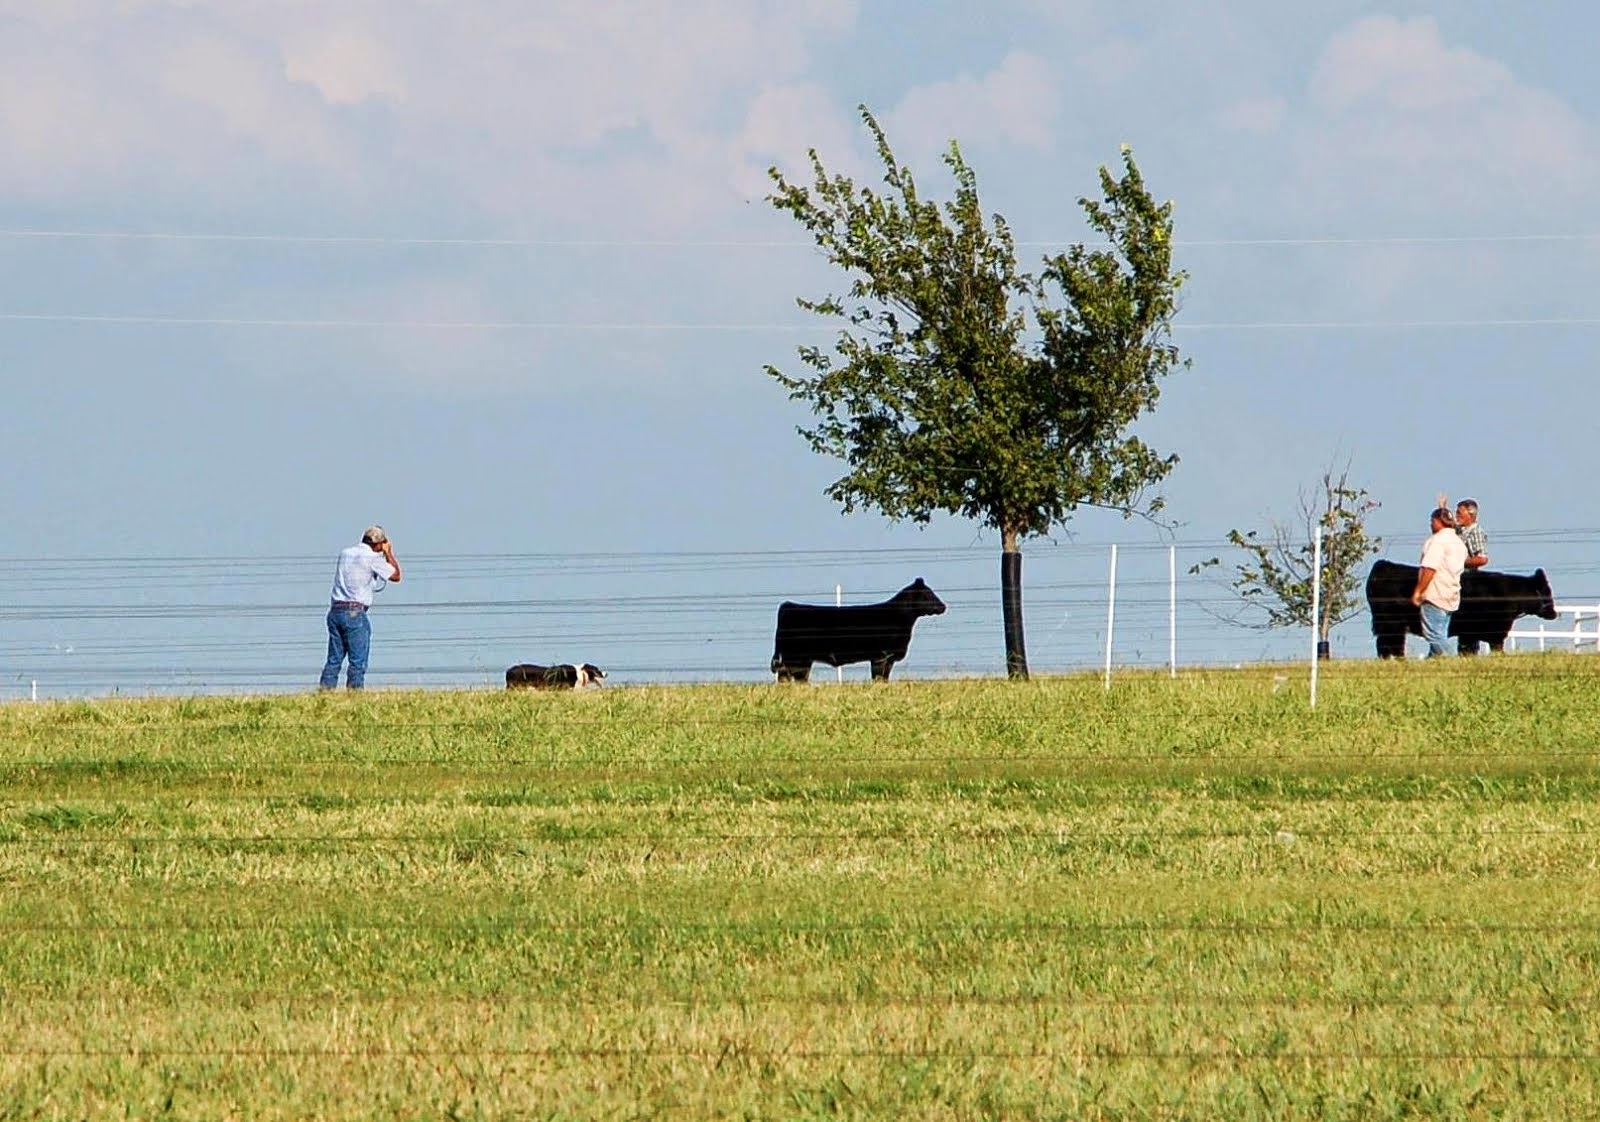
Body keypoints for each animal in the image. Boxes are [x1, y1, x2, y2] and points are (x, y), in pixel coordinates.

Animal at [771, 578, 947, 682]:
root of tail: (788, 605)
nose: (943, 606)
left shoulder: (889, 658)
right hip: (794, 658)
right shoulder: (880, 657)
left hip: (803, 660)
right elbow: (878, 678)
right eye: (927, 594)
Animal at [1365, 560, 1557, 658]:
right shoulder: (1493, 632)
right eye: (1546, 591)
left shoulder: (1471, 633)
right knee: (1388, 644)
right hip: (1391, 623)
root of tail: (1383, 565)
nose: (1554, 613)